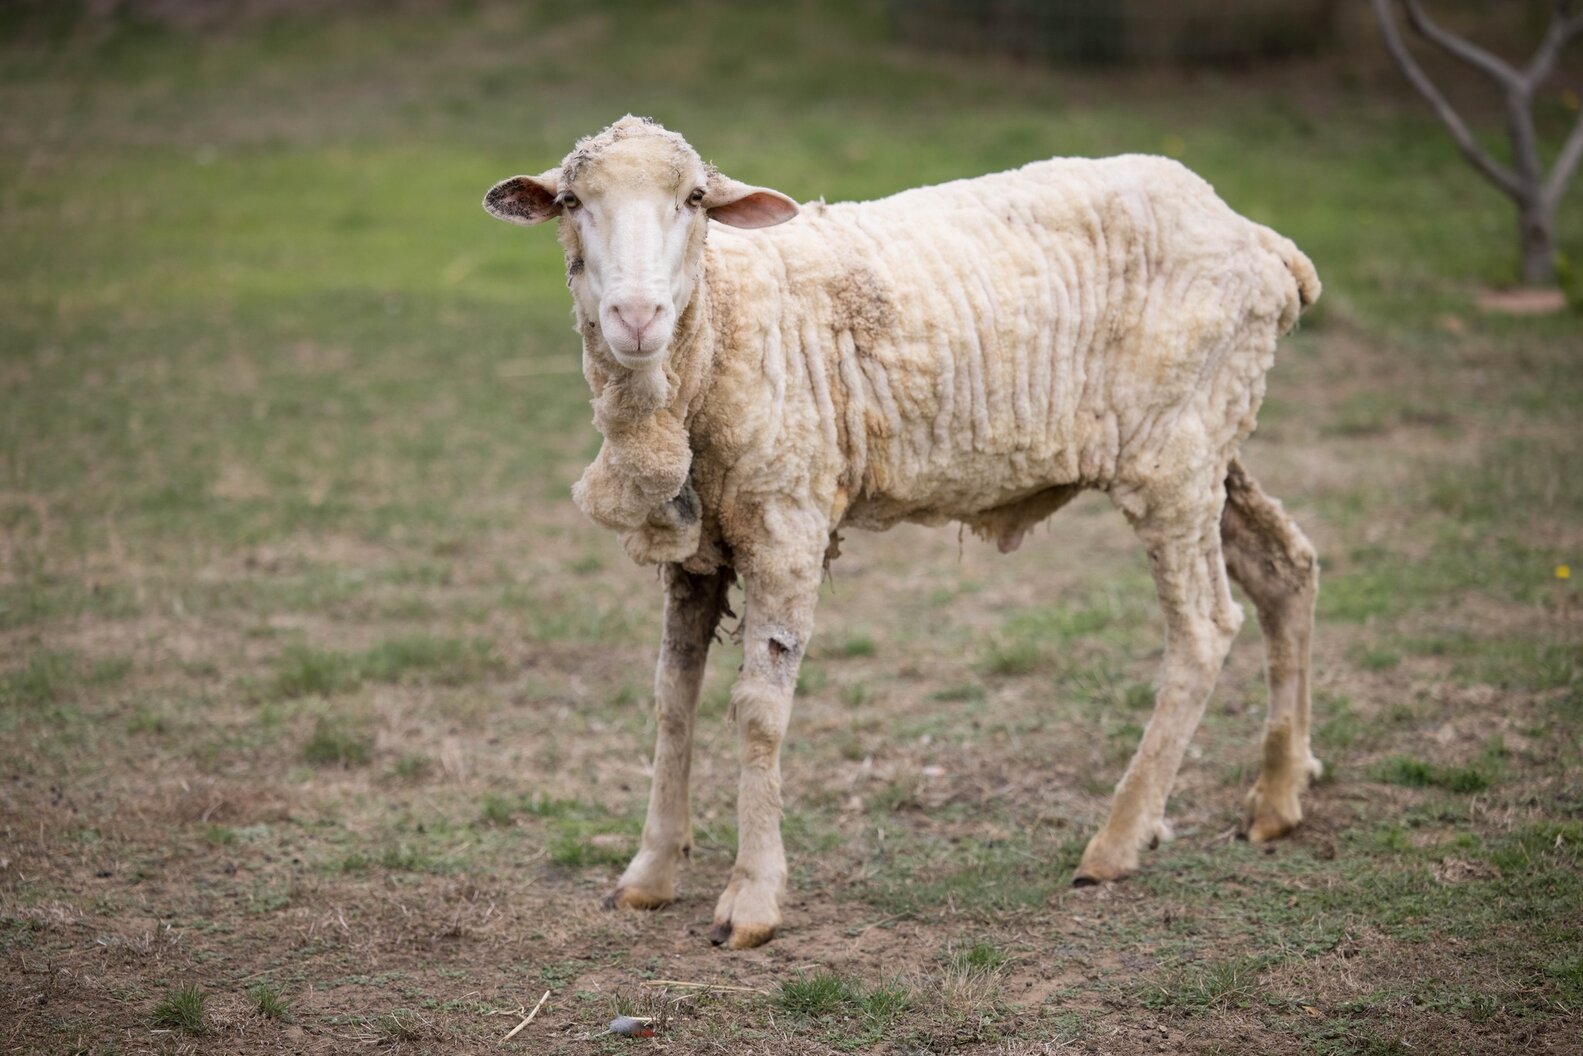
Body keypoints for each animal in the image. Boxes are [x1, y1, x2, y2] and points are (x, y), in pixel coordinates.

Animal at [483, 115, 1323, 950]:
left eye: (694, 198)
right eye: (570, 202)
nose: (636, 318)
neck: (725, 323)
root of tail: (1259, 239)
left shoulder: (787, 517)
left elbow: (758, 712)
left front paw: (750, 900)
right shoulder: (696, 551)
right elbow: (670, 696)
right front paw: (649, 873)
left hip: (1174, 453)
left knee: (1204, 628)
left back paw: (1116, 843)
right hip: (1214, 441)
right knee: (1285, 568)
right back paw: (1277, 798)